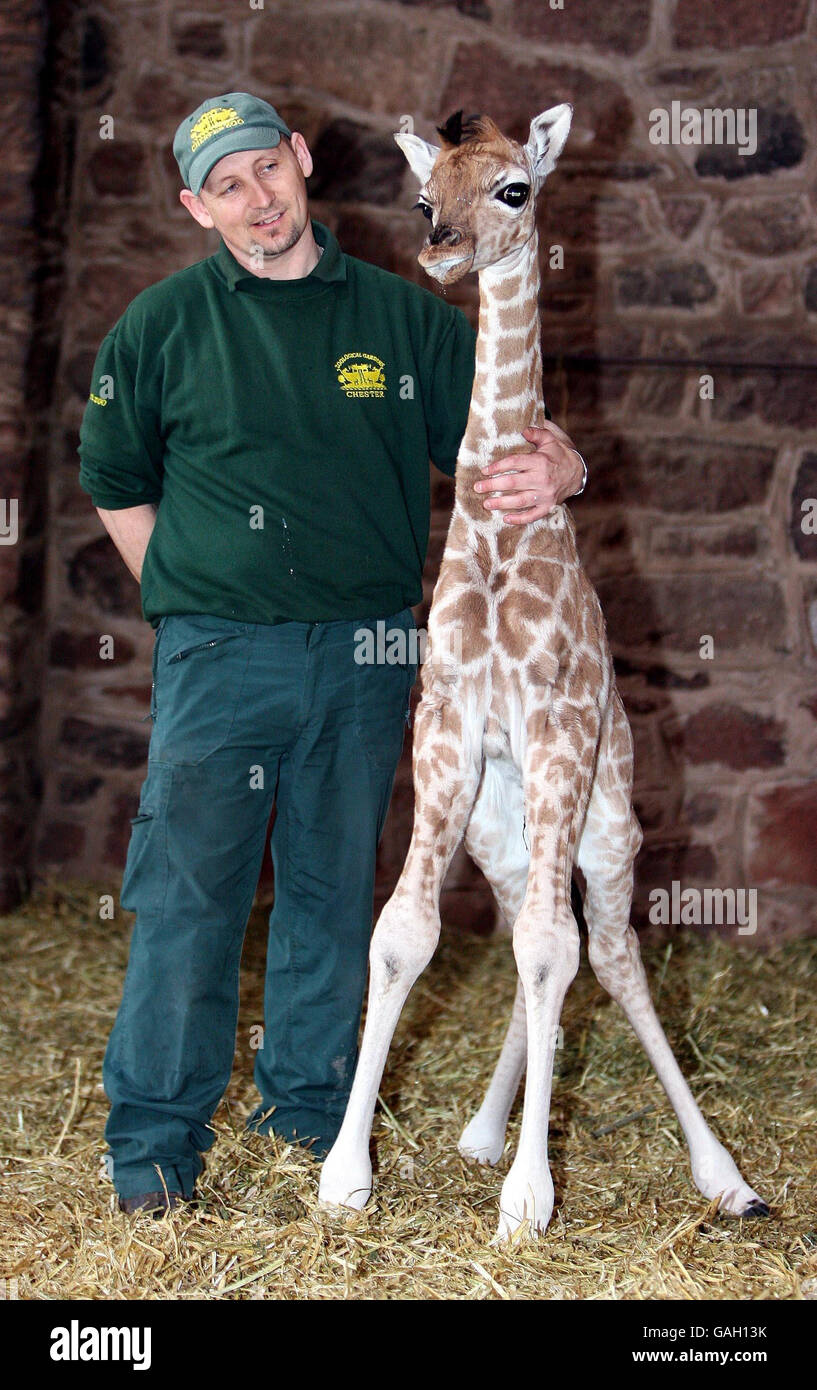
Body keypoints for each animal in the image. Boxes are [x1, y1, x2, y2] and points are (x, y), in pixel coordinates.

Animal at [318, 106, 768, 1241]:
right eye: (424, 197)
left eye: (514, 189)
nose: (440, 250)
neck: (495, 538)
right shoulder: (444, 736)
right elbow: (405, 935)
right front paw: (347, 1174)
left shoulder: (560, 729)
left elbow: (557, 956)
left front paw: (529, 1201)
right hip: (503, 833)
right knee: (536, 935)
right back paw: (484, 1133)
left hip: (606, 829)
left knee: (602, 953)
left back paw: (724, 1175)